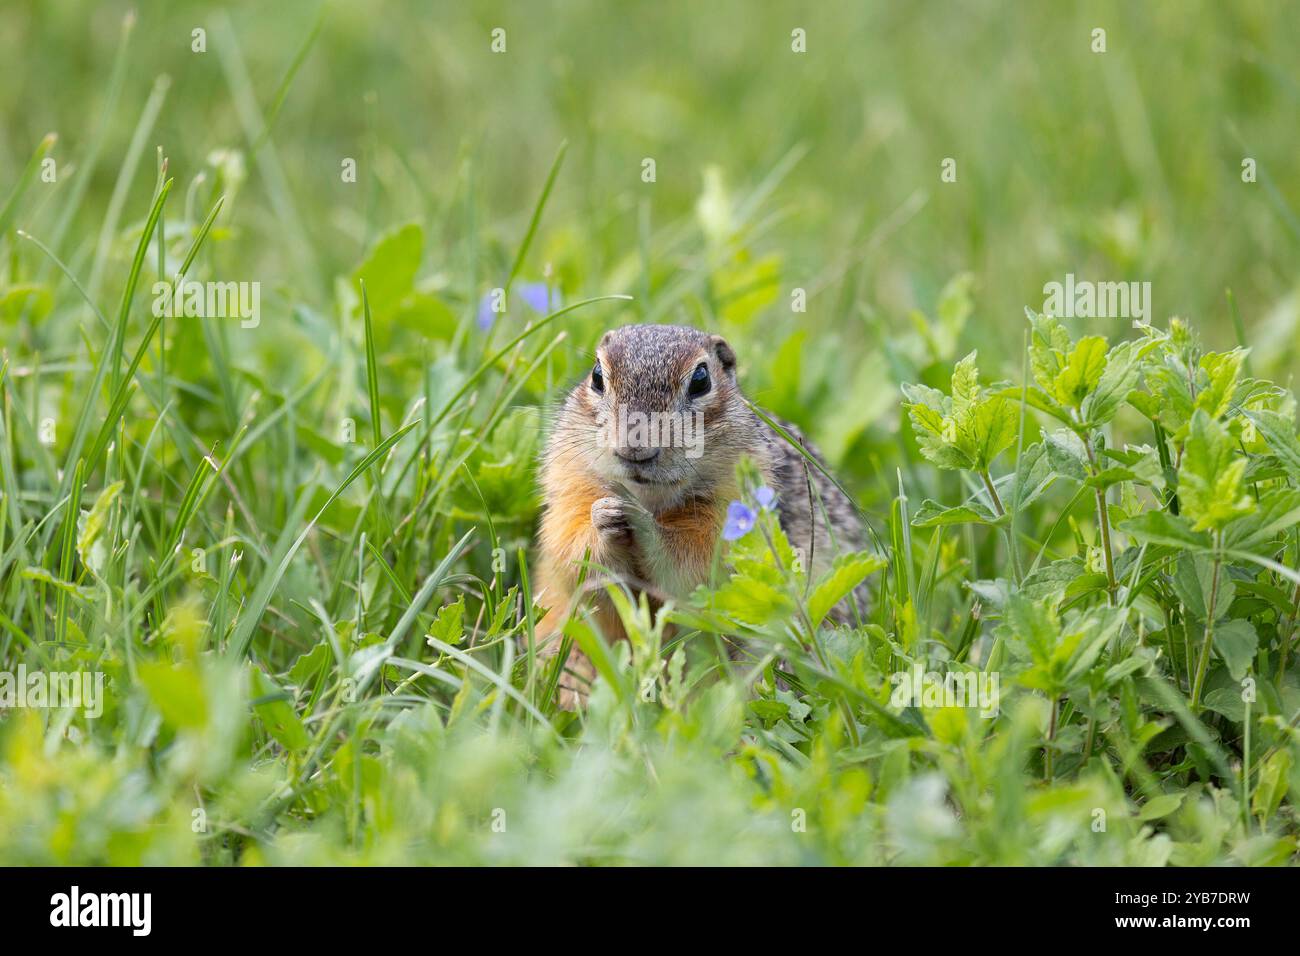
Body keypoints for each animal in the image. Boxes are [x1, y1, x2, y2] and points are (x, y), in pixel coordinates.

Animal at [534, 323, 868, 707]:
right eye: (597, 376)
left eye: (701, 380)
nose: (635, 448)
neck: (654, 500)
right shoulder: (569, 494)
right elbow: (576, 562)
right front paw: (604, 520)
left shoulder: (729, 517)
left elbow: (695, 569)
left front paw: (645, 527)